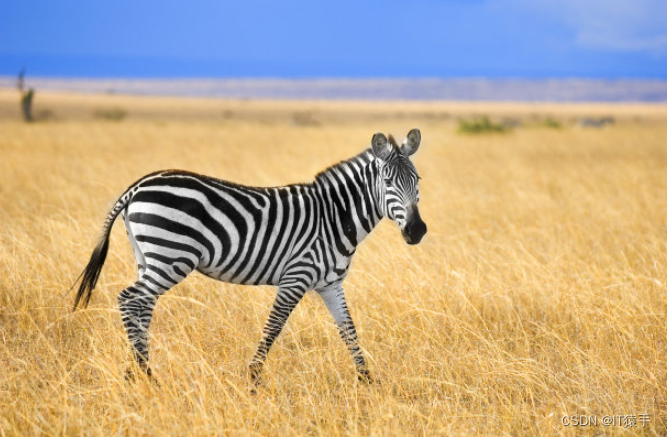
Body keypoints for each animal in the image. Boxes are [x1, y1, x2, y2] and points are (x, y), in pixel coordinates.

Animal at [73, 128, 427, 385]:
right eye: (388, 181)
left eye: (417, 180)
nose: (417, 230)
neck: (334, 217)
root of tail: (138, 186)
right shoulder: (296, 277)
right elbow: (273, 327)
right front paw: (253, 380)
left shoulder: (330, 284)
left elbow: (349, 330)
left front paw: (368, 382)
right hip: (171, 257)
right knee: (130, 299)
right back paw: (146, 375)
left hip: (147, 257)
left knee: (141, 305)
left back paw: (136, 374)